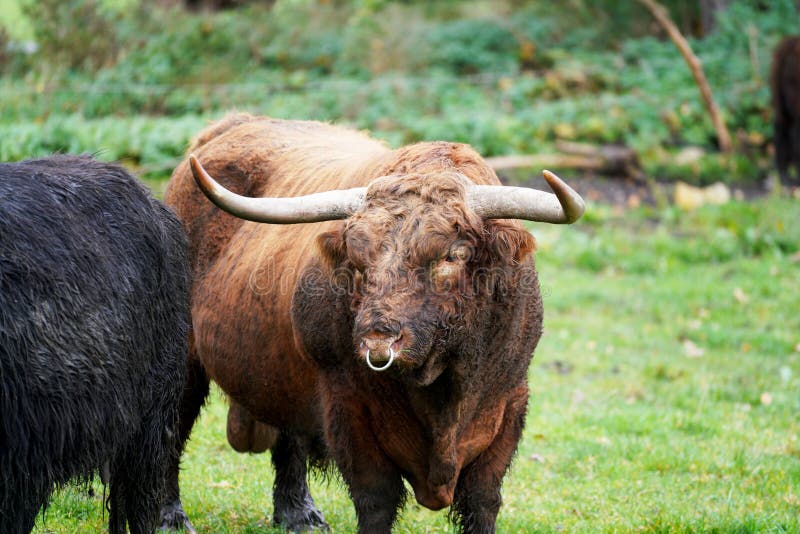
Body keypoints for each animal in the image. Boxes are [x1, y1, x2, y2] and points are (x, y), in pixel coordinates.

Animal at [158, 113, 584, 533]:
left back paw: (299, 516)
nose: (378, 341)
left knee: (289, 434)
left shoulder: (509, 403)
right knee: (171, 430)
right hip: (184, 358)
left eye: (453, 254)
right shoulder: (348, 407)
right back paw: (171, 517)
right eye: (358, 258)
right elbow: (375, 498)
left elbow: (483, 499)